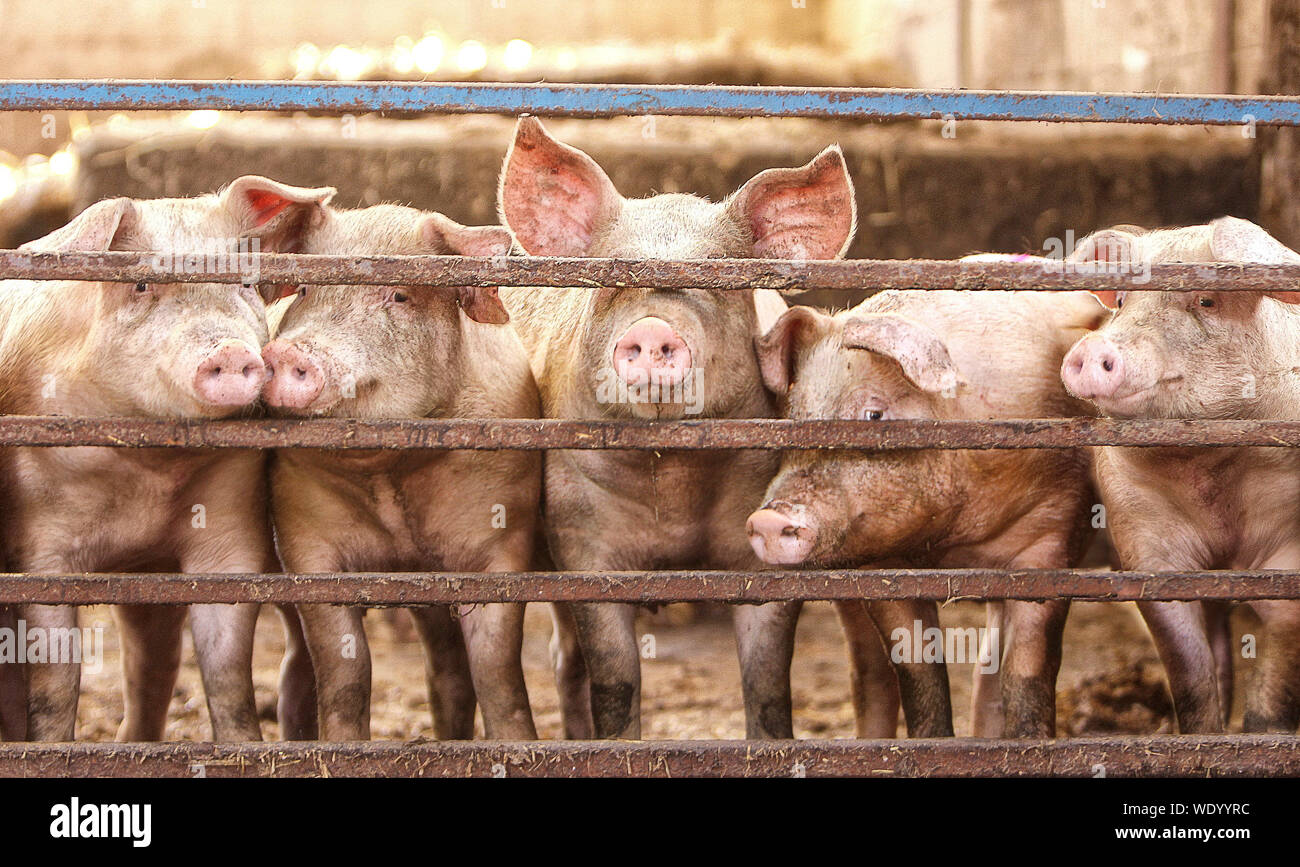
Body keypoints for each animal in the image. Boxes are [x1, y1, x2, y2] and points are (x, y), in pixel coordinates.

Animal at [0, 177, 328, 741]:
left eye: (246, 284)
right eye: (140, 286)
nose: (231, 352)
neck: (149, 475)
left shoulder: (229, 528)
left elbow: (227, 673)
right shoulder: (39, 547)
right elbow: (56, 685)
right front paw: (50, 745)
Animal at [261, 201, 545, 741]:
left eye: (398, 294)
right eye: (305, 289)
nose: (287, 352)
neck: (389, 475)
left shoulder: (505, 539)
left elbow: (497, 670)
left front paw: (517, 745)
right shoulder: (303, 540)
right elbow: (345, 672)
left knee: (449, 673)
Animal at [496, 116, 855, 738]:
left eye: (718, 277)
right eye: (611, 279)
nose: (653, 328)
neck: (675, 478)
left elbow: (768, 684)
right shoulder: (580, 536)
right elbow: (616, 680)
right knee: (568, 660)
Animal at [748, 279, 1106, 737]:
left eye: (874, 414)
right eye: (793, 417)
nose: (767, 519)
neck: (957, 537)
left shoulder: (1053, 532)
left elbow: (1028, 665)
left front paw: (1031, 741)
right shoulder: (880, 562)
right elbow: (918, 670)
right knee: (868, 673)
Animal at [1060, 216, 1300, 734]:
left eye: (1206, 300)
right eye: (1123, 302)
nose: (1094, 345)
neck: (1209, 472)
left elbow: (1275, 680)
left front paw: (1262, 734)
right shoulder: (1144, 536)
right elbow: (1189, 670)